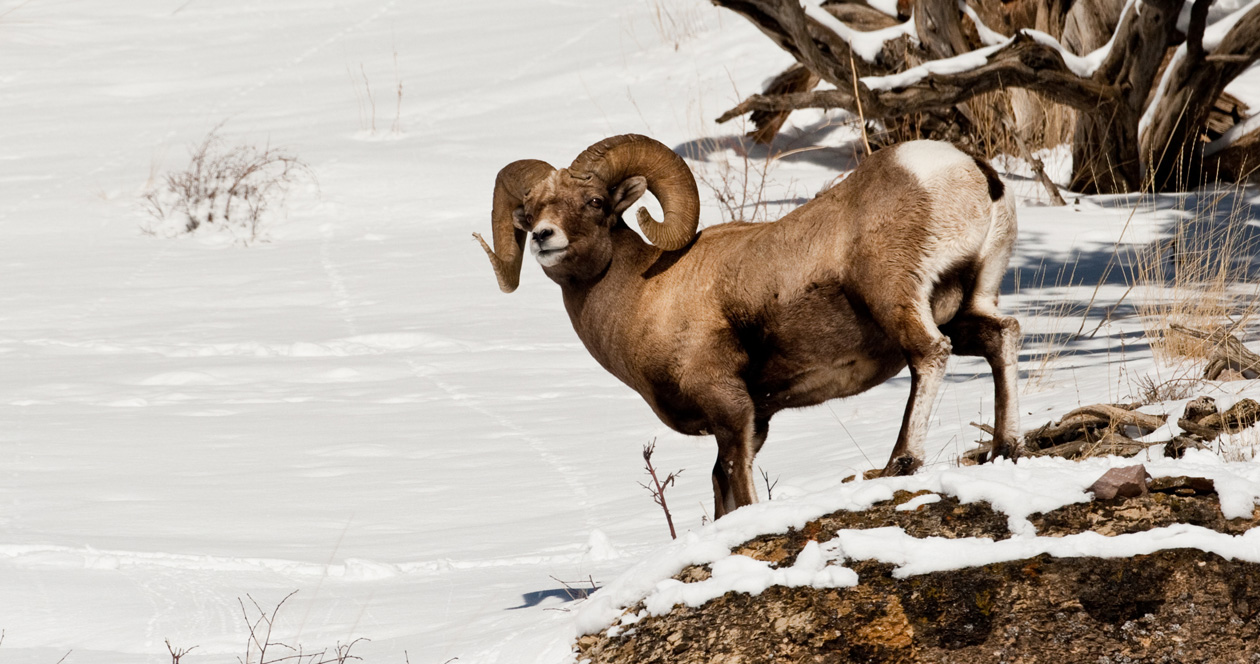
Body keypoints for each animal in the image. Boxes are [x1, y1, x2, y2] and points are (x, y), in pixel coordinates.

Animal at [474, 134, 1020, 518]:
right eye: (530, 213)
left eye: (593, 203)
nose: (544, 237)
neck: (642, 292)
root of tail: (971, 172)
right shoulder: (755, 419)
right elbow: (722, 489)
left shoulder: (731, 408)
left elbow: (738, 483)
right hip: (971, 299)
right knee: (1002, 335)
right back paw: (1005, 448)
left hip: (896, 298)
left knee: (930, 353)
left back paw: (901, 462)